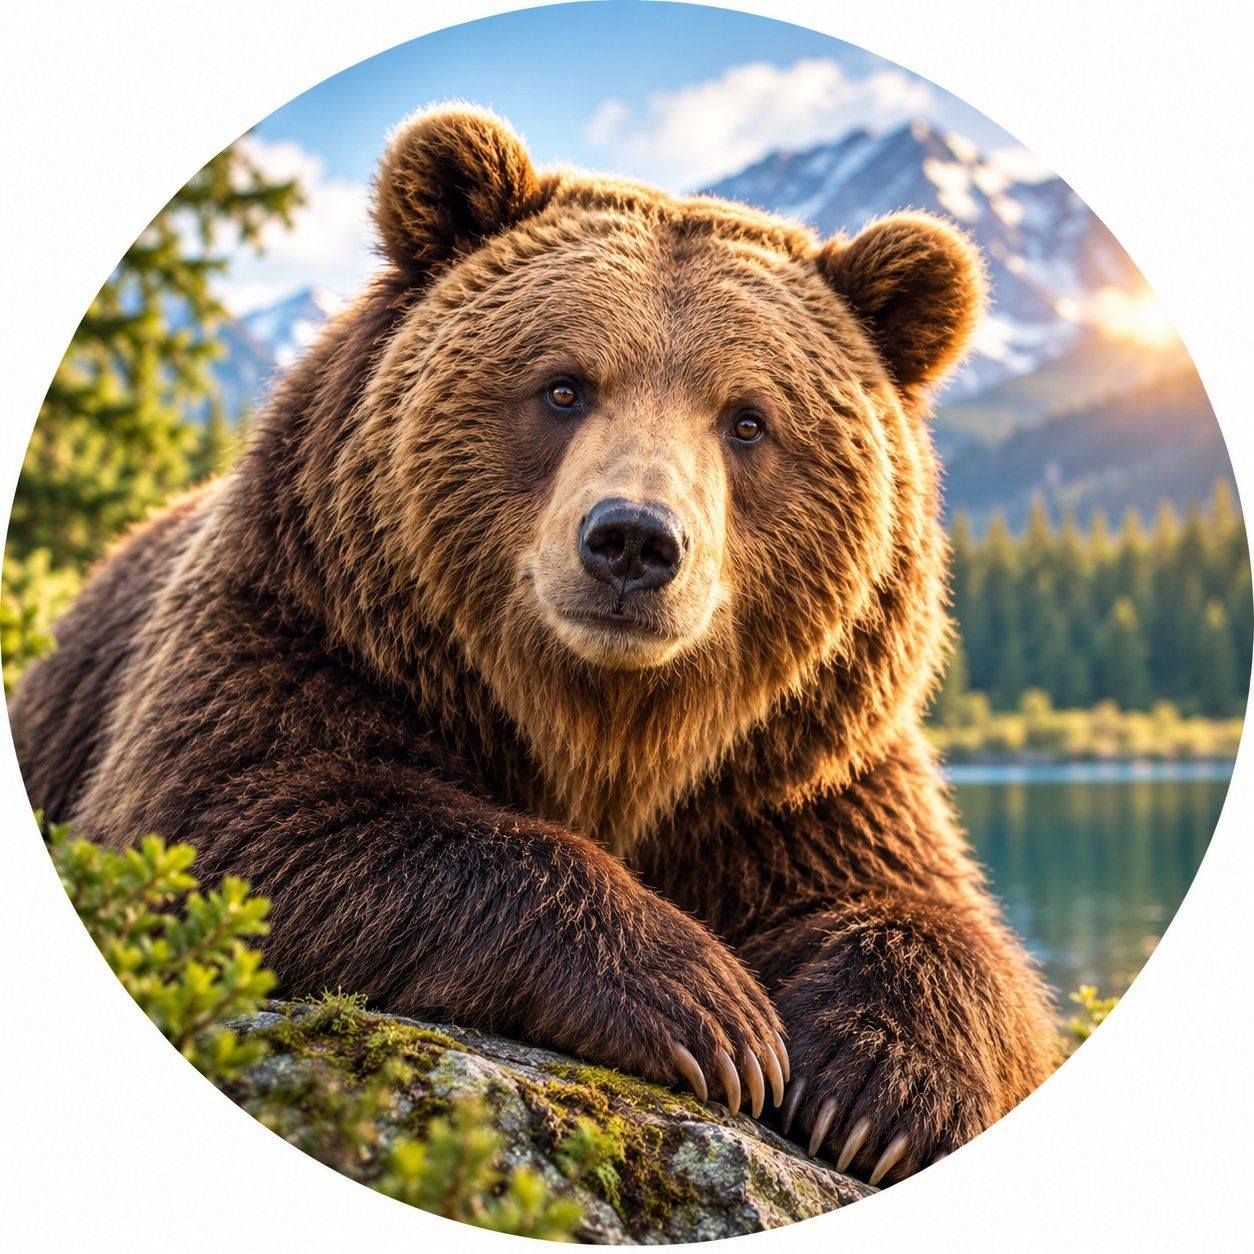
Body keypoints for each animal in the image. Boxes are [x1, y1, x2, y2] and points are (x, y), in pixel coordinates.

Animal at [10, 105, 1058, 1188]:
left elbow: (939, 923)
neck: (606, 729)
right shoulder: (310, 635)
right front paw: (704, 1005)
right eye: (563, 387)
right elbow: (235, 815)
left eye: (748, 420)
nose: (633, 540)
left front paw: (876, 1090)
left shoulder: (795, 768)